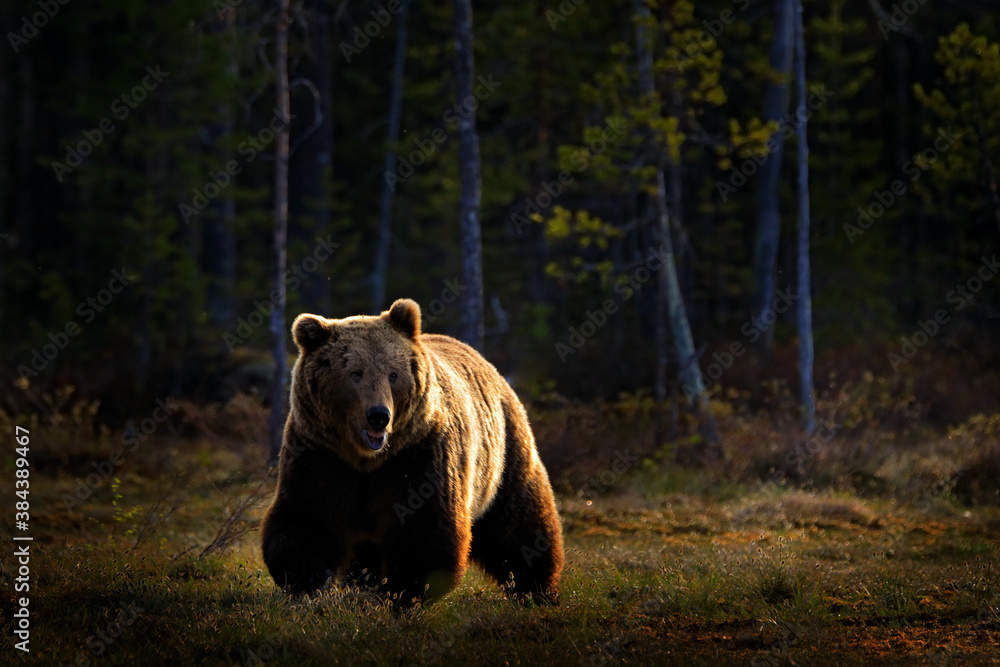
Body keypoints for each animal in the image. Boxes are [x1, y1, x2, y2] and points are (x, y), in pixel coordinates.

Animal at [261, 298, 563, 605]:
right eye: (355, 372)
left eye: (393, 374)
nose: (378, 416)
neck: (367, 458)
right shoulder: (320, 452)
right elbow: (308, 517)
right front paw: (307, 578)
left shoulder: (418, 452)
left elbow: (424, 527)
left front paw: (403, 591)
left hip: (503, 454)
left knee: (518, 523)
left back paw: (537, 589)